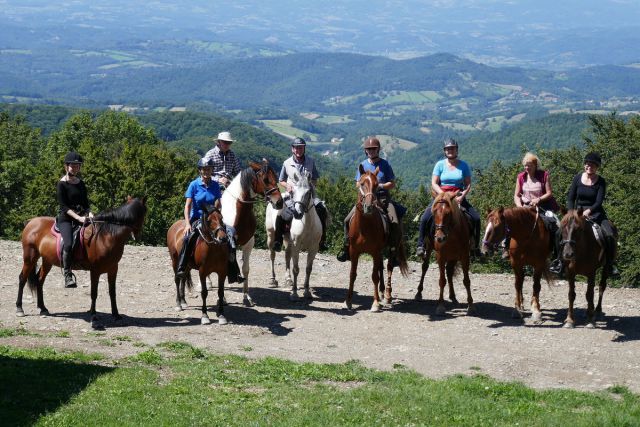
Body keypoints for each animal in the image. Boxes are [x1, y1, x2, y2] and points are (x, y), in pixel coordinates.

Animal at [16, 196, 148, 330]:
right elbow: (94, 293)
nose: (137, 235)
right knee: (22, 278)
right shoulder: (95, 271)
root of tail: (31, 222)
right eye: (145, 212)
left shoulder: (113, 269)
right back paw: (19, 308)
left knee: (40, 280)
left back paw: (43, 308)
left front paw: (116, 315)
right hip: (30, 257)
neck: (105, 236)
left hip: (47, 260)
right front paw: (94, 318)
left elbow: (112, 292)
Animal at [220, 159, 282, 306]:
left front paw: (246, 297)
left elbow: (245, 269)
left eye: (276, 178)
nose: (279, 202)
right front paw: (222, 298)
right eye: (265, 179)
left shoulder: (248, 243)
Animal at [264, 170, 322, 300]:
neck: (307, 224)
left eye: (308, 192)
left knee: (287, 256)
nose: (298, 213)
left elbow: (308, 269)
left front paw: (307, 291)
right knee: (272, 256)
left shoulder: (313, 248)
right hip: (271, 235)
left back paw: (288, 280)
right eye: (293, 191)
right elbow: (296, 269)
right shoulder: (296, 246)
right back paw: (272, 280)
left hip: (287, 239)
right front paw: (294, 294)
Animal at [342, 166, 408, 312]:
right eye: (361, 183)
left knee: (388, 267)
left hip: (391, 248)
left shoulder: (374, 251)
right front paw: (348, 301)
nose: (369, 207)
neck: (364, 227)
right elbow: (352, 274)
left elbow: (374, 276)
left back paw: (387, 295)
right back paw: (382, 292)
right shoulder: (354, 251)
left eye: (377, 185)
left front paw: (376, 303)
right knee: (381, 267)